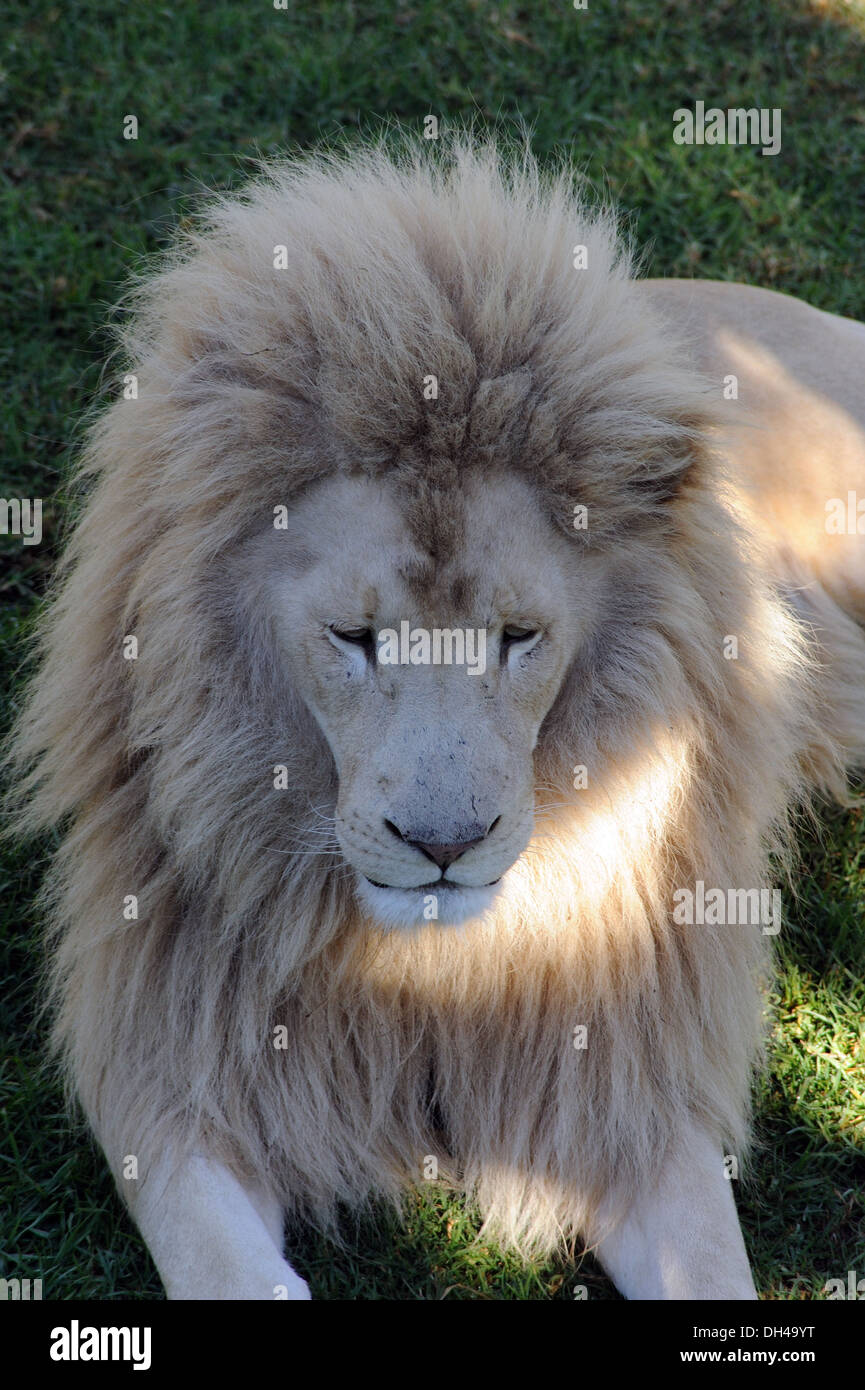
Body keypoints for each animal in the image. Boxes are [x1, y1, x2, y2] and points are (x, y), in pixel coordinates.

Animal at [8, 139, 865, 1300]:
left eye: (517, 636)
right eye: (354, 637)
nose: (444, 847)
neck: (422, 975)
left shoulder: (626, 1093)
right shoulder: (174, 1079)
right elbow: (231, 1269)